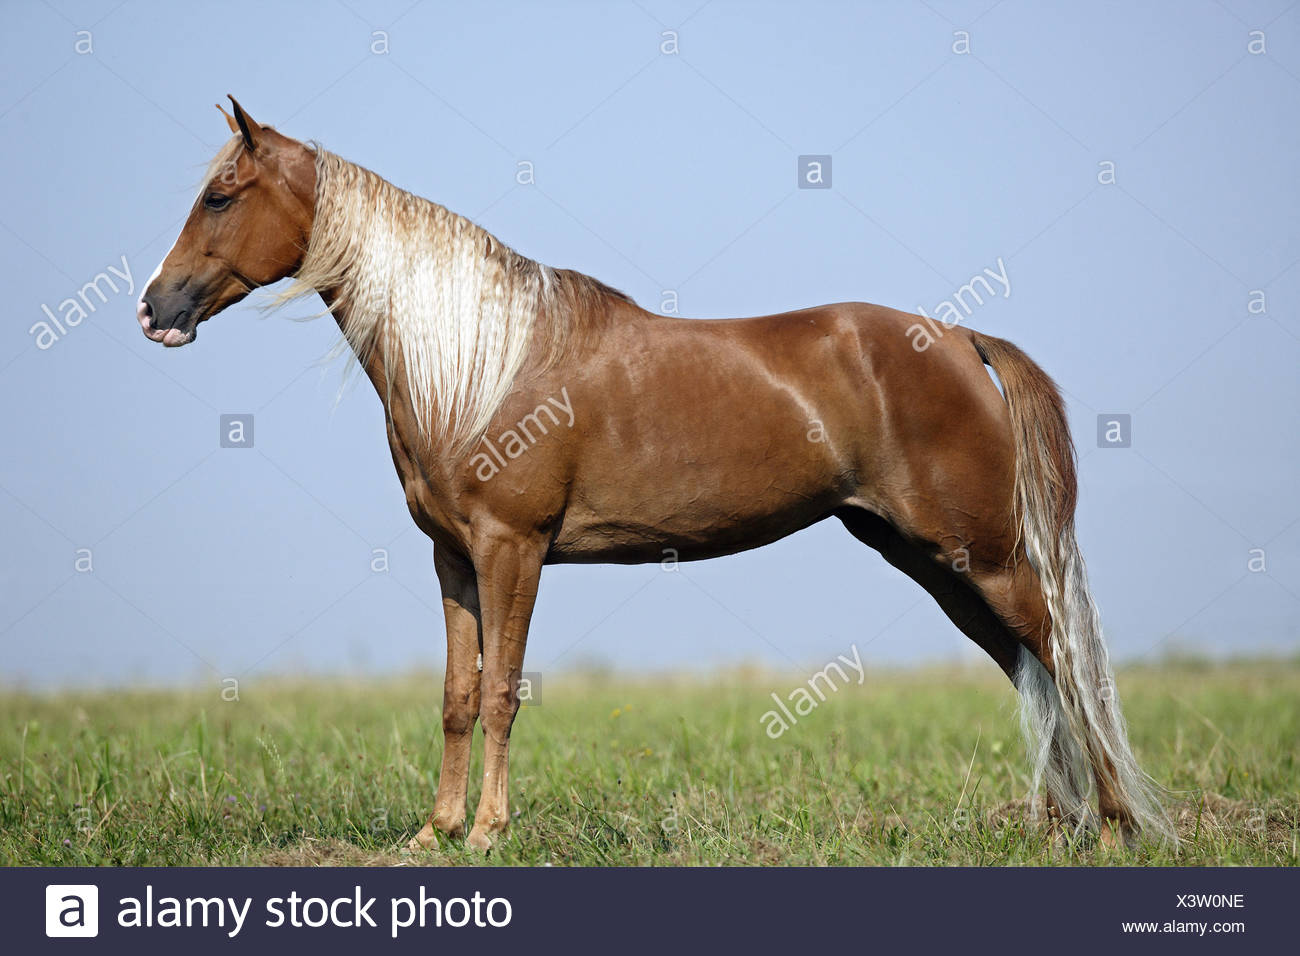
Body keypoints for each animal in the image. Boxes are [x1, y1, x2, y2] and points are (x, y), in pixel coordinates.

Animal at [136, 97, 1173, 851]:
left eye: (222, 195)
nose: (155, 308)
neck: (480, 360)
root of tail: (959, 337)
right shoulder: (453, 559)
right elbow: (458, 698)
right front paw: (433, 834)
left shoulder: (514, 551)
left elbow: (504, 692)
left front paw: (488, 833)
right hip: (935, 565)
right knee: (1030, 671)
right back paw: (1062, 825)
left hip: (981, 557)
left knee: (1066, 661)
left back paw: (1116, 826)